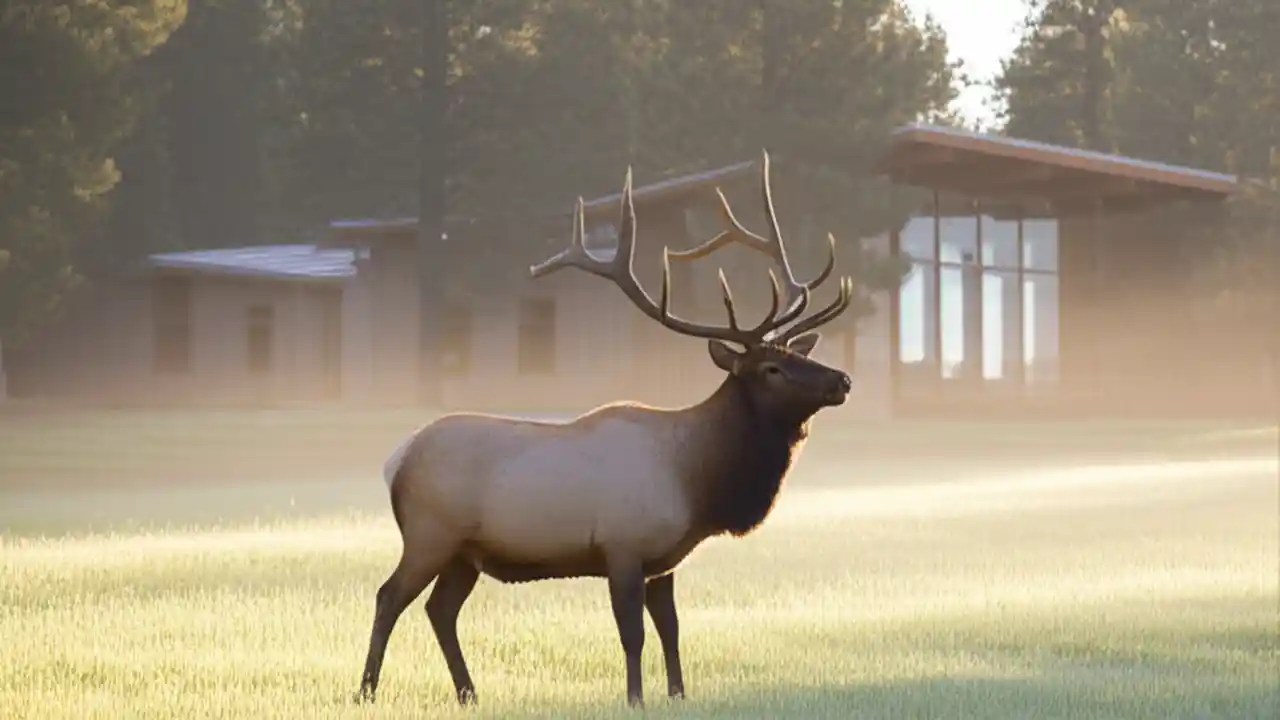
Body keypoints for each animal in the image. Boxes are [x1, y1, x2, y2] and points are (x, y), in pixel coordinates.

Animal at [357, 152, 855, 709]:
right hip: (429, 533)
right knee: (389, 596)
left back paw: (469, 694)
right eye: (771, 368)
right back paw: (367, 691)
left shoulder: (664, 561)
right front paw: (635, 698)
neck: (697, 478)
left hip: (466, 552)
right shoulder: (623, 547)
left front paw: (678, 695)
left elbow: (671, 629)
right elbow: (632, 634)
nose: (842, 380)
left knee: (440, 609)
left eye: (797, 354)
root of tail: (395, 460)